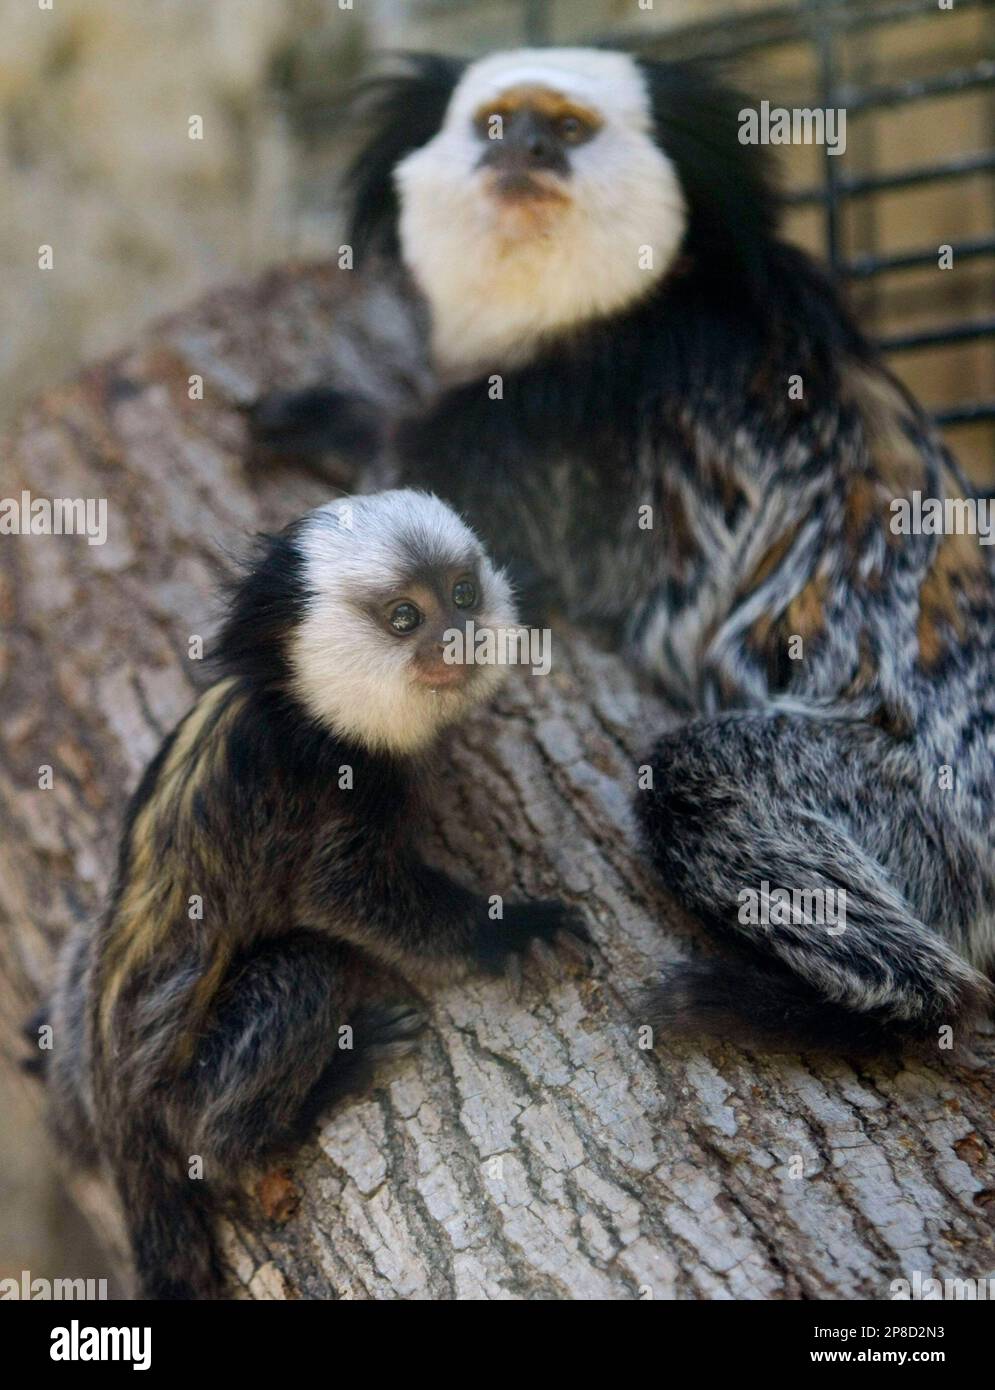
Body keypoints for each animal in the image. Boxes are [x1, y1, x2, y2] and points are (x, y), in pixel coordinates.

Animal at [35, 488, 586, 1299]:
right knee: (297, 983)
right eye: (405, 617)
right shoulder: (329, 783)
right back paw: (309, 1098)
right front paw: (508, 930)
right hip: (184, 1090)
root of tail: (118, 1109)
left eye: (463, 596)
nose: (461, 639)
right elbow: (341, 895)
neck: (300, 703)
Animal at [249, 47, 995, 1052]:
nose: (523, 152)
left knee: (704, 777)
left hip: (928, 808)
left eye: (567, 129)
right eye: (495, 123)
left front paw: (340, 420)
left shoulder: (573, 410)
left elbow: (468, 529)